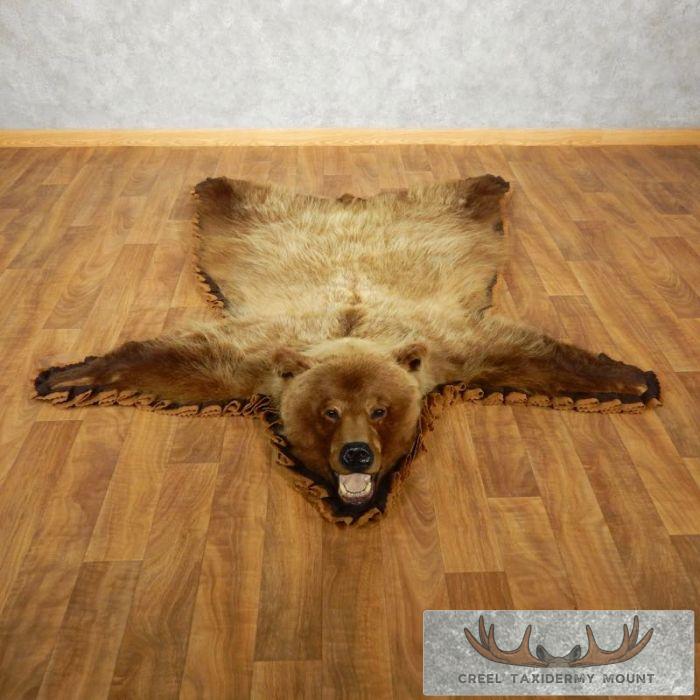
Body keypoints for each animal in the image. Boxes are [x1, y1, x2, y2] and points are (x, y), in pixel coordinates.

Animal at [34, 175, 660, 523]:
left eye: (381, 410)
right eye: (329, 411)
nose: (357, 455)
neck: (352, 329)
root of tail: (349, 203)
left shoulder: (451, 344)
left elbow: (530, 354)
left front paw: (632, 380)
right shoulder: (253, 353)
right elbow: (172, 360)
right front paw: (64, 377)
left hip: (449, 220)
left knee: (464, 196)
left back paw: (489, 180)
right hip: (249, 224)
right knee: (231, 198)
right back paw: (215, 183)